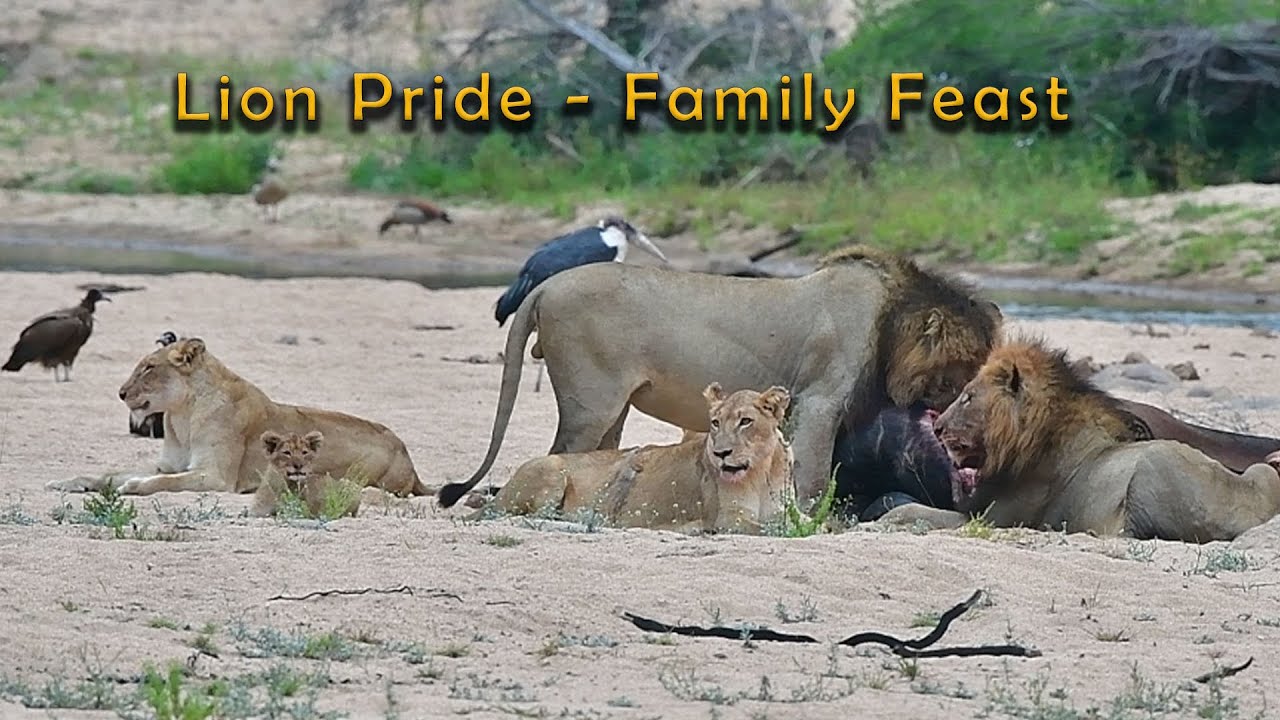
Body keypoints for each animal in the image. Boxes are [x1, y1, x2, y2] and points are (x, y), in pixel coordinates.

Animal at [46, 338, 428, 497]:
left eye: (149, 368)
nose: (121, 393)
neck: (181, 416)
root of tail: (409, 460)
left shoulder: (215, 477)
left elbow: (163, 483)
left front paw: (134, 487)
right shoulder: (167, 465)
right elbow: (110, 473)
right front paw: (68, 482)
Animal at [439, 244, 1002, 508]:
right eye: (963, 374)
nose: (956, 419)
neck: (890, 319)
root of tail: (545, 287)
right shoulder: (819, 402)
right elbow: (814, 474)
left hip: (611, 409)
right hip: (590, 401)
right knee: (560, 453)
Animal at [479, 384, 795, 535]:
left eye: (745, 421)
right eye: (716, 423)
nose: (720, 454)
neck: (761, 471)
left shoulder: (780, 509)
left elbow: (799, 524)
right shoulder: (729, 519)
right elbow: (771, 529)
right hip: (552, 470)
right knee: (526, 517)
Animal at [879, 337, 1280, 542]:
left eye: (967, 397)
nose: (939, 427)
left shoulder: (1001, 518)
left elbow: (918, 512)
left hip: (1154, 467)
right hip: (1255, 473)